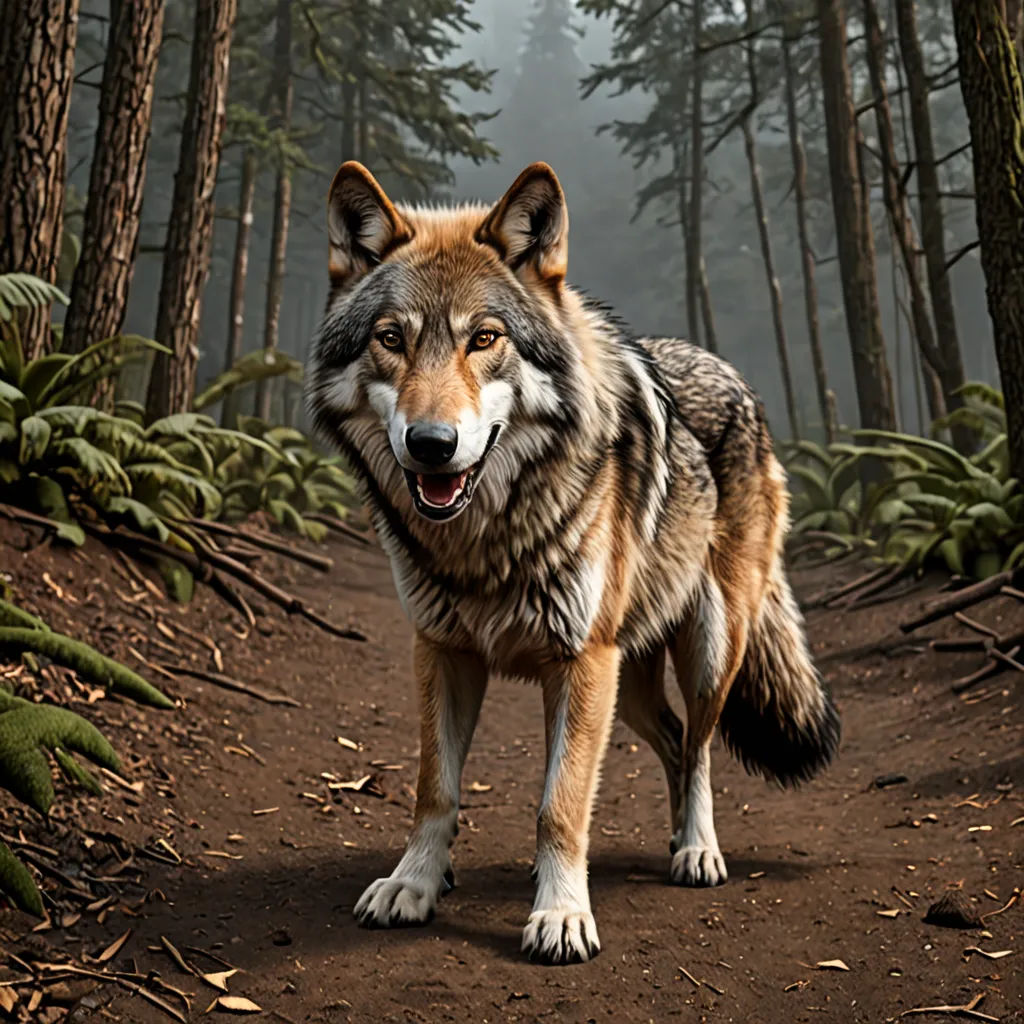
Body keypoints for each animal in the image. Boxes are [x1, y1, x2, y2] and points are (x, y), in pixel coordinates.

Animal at [305, 161, 840, 966]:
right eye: (390, 339)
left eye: (485, 338)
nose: (430, 444)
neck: (485, 540)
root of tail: (725, 368)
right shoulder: (442, 649)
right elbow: (436, 788)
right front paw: (416, 885)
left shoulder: (582, 661)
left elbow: (559, 805)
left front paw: (560, 915)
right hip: (633, 682)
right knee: (675, 742)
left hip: (707, 649)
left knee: (701, 749)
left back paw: (696, 850)